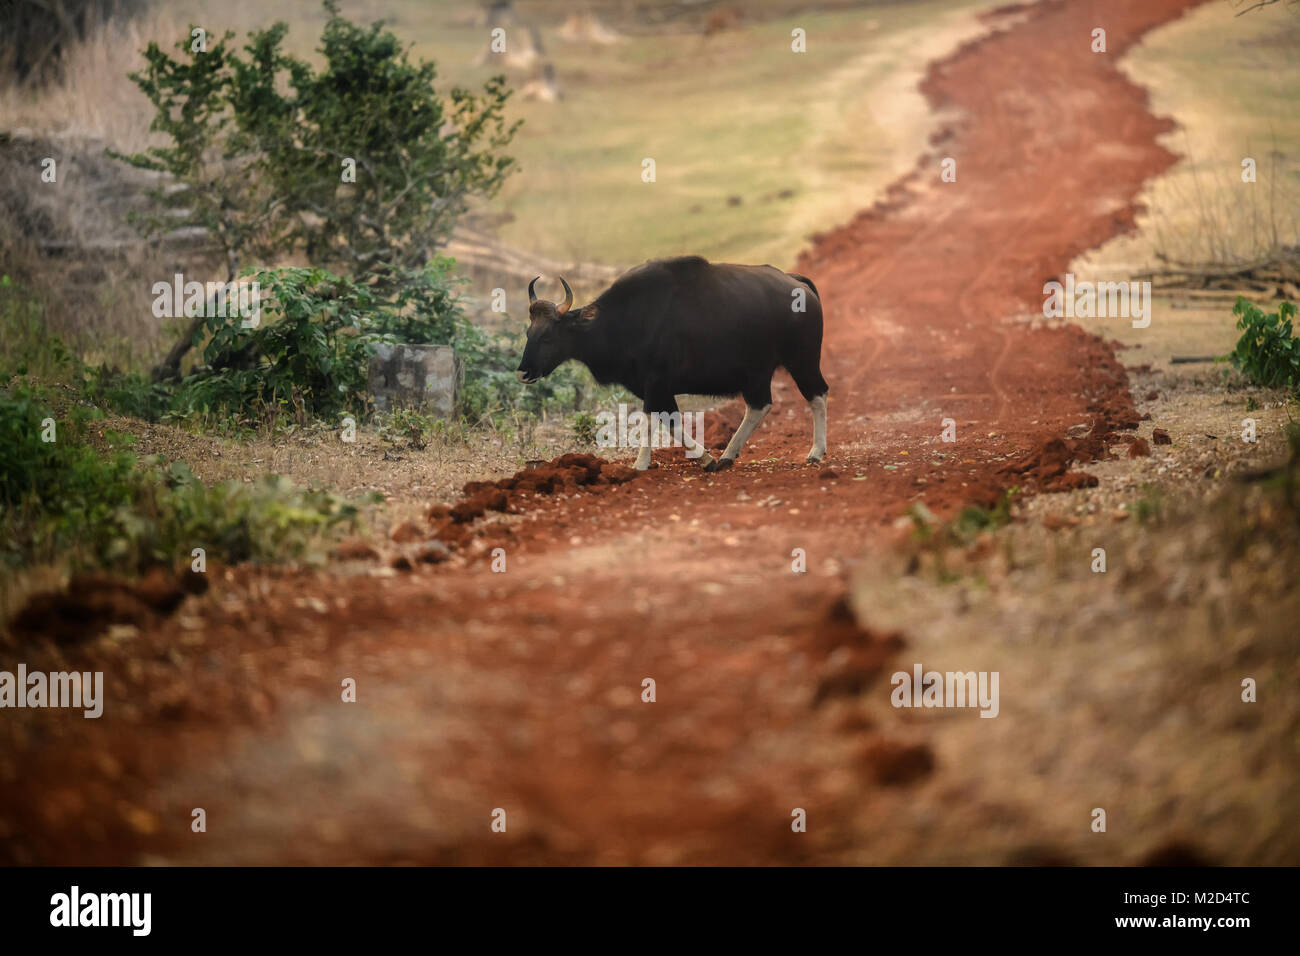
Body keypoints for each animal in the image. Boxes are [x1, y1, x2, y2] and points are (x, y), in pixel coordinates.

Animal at [516, 255, 827, 471]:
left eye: (547, 337)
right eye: (528, 333)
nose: (523, 372)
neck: (624, 320)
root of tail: (797, 282)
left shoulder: (656, 383)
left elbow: (654, 420)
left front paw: (642, 463)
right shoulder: (654, 387)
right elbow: (669, 420)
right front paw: (706, 458)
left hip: (803, 360)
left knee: (817, 394)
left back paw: (815, 452)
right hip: (757, 374)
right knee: (760, 405)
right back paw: (728, 455)